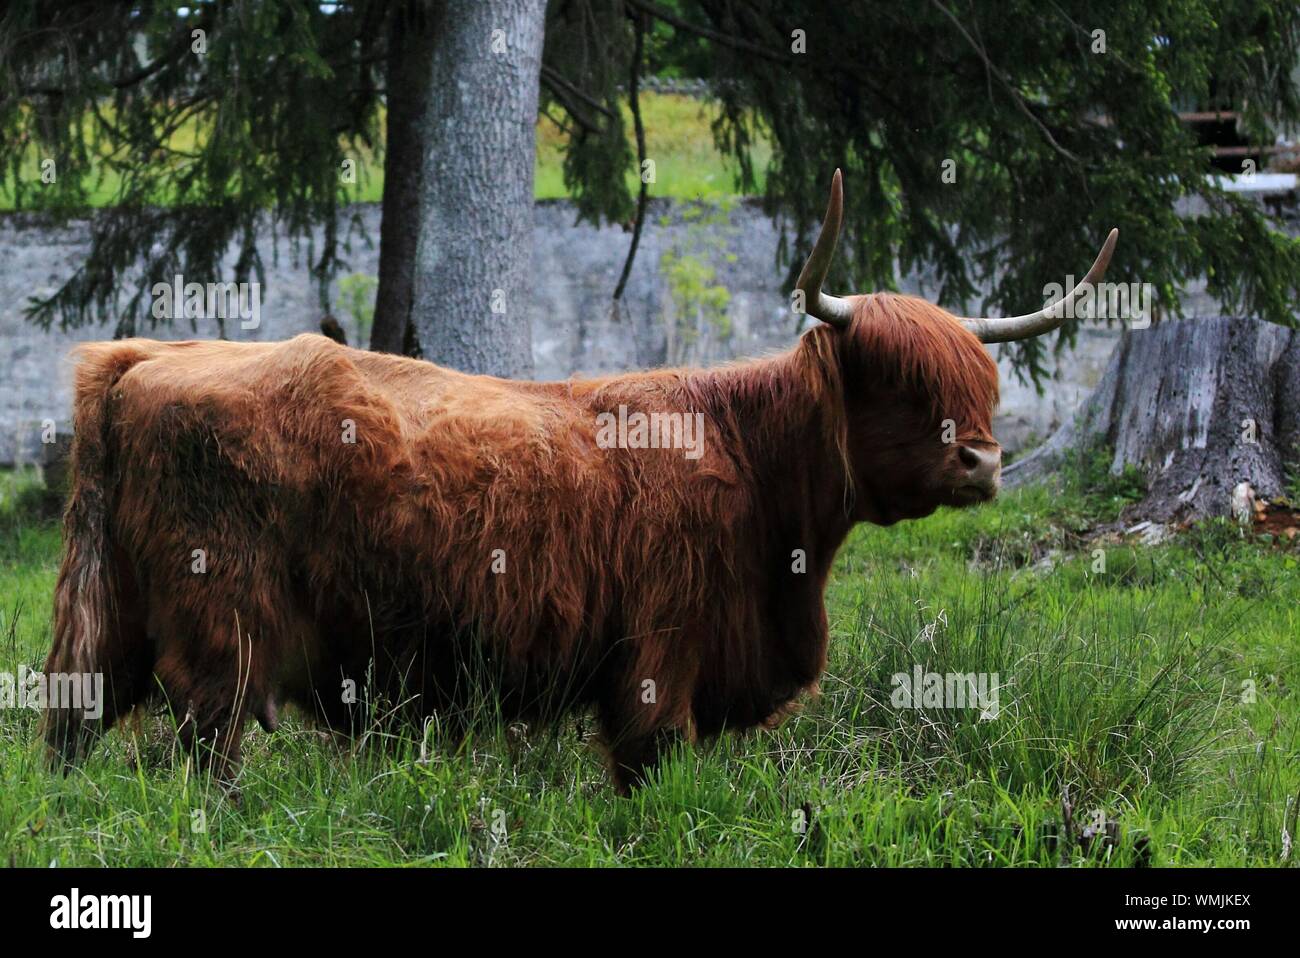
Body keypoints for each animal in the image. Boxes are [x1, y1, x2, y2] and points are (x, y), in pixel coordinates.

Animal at [43, 171, 1117, 792]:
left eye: (979, 384)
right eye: (895, 380)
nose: (984, 461)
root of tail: (142, 354)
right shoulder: (659, 662)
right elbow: (649, 775)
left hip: (114, 621)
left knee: (78, 731)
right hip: (223, 628)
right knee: (207, 752)